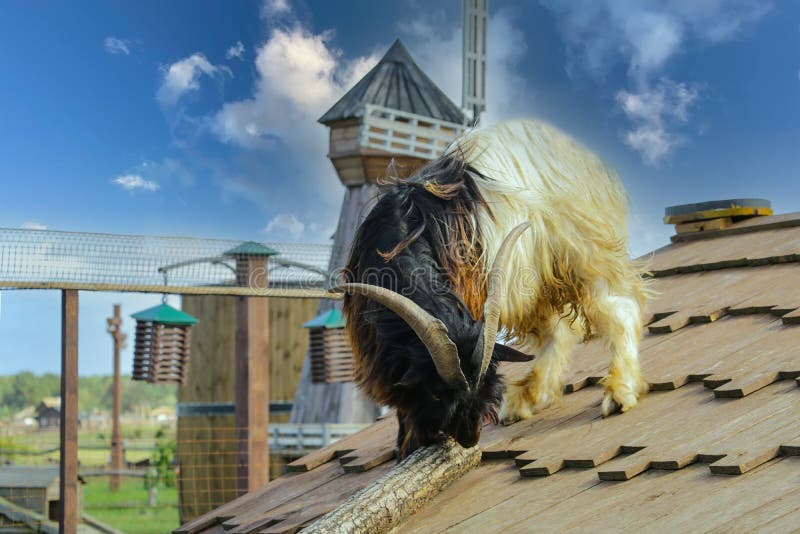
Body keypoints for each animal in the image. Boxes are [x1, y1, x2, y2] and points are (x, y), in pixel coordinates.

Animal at [338, 118, 648, 457]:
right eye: (437, 393)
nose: (469, 438)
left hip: (582, 250)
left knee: (619, 308)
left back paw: (619, 393)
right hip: (537, 278)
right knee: (560, 330)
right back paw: (529, 398)